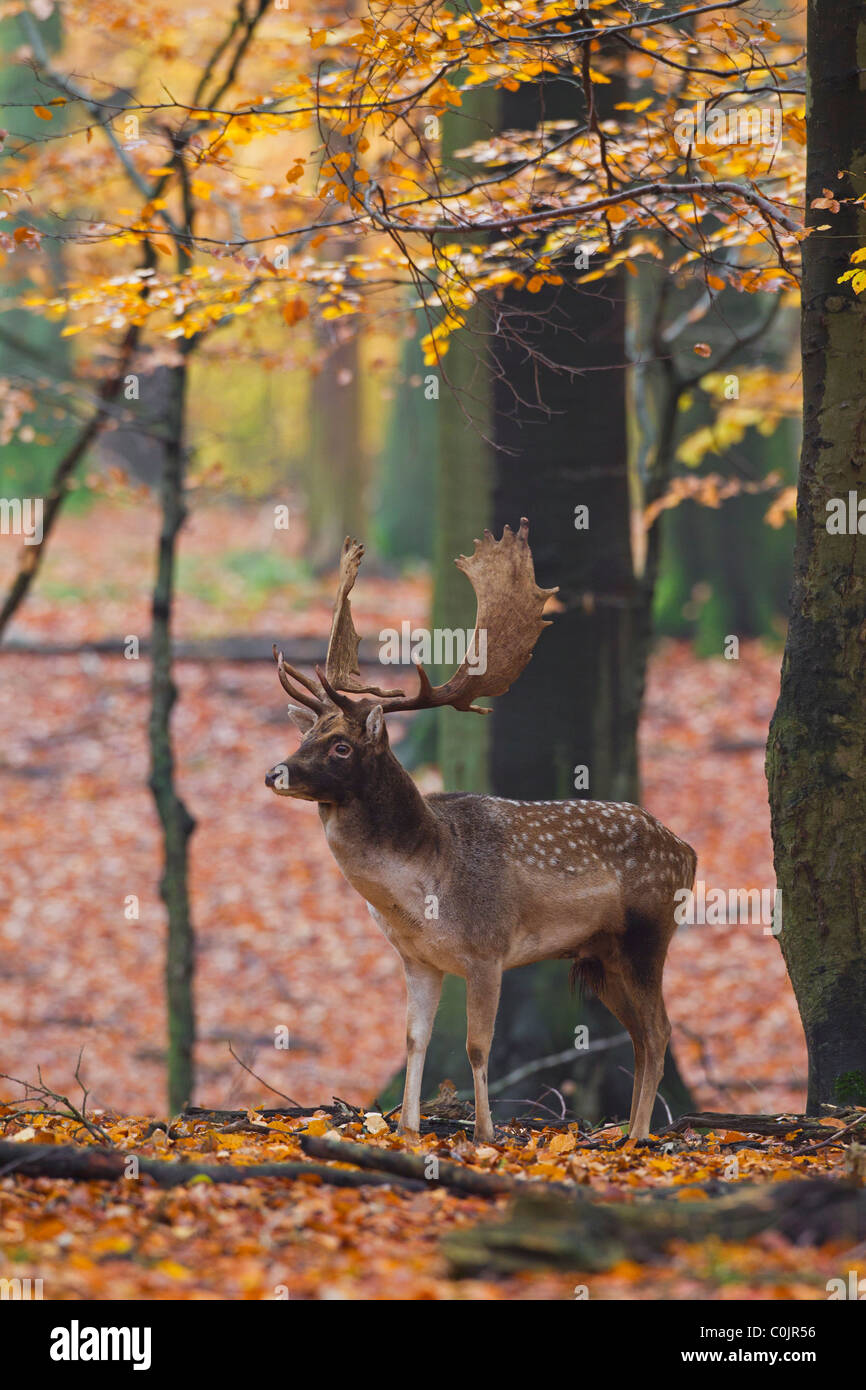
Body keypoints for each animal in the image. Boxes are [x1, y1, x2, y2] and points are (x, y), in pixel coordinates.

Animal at [265, 519, 697, 1143]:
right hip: (601, 956)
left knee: (659, 1030)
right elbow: (414, 1039)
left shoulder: (488, 949)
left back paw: (638, 1137)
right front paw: (408, 1128)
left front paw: (486, 1134)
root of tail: (688, 851)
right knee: (642, 1035)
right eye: (306, 735)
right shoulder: (417, 958)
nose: (275, 772)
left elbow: (476, 1045)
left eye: (341, 745)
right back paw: (623, 1133)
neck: (423, 887)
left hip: (650, 932)